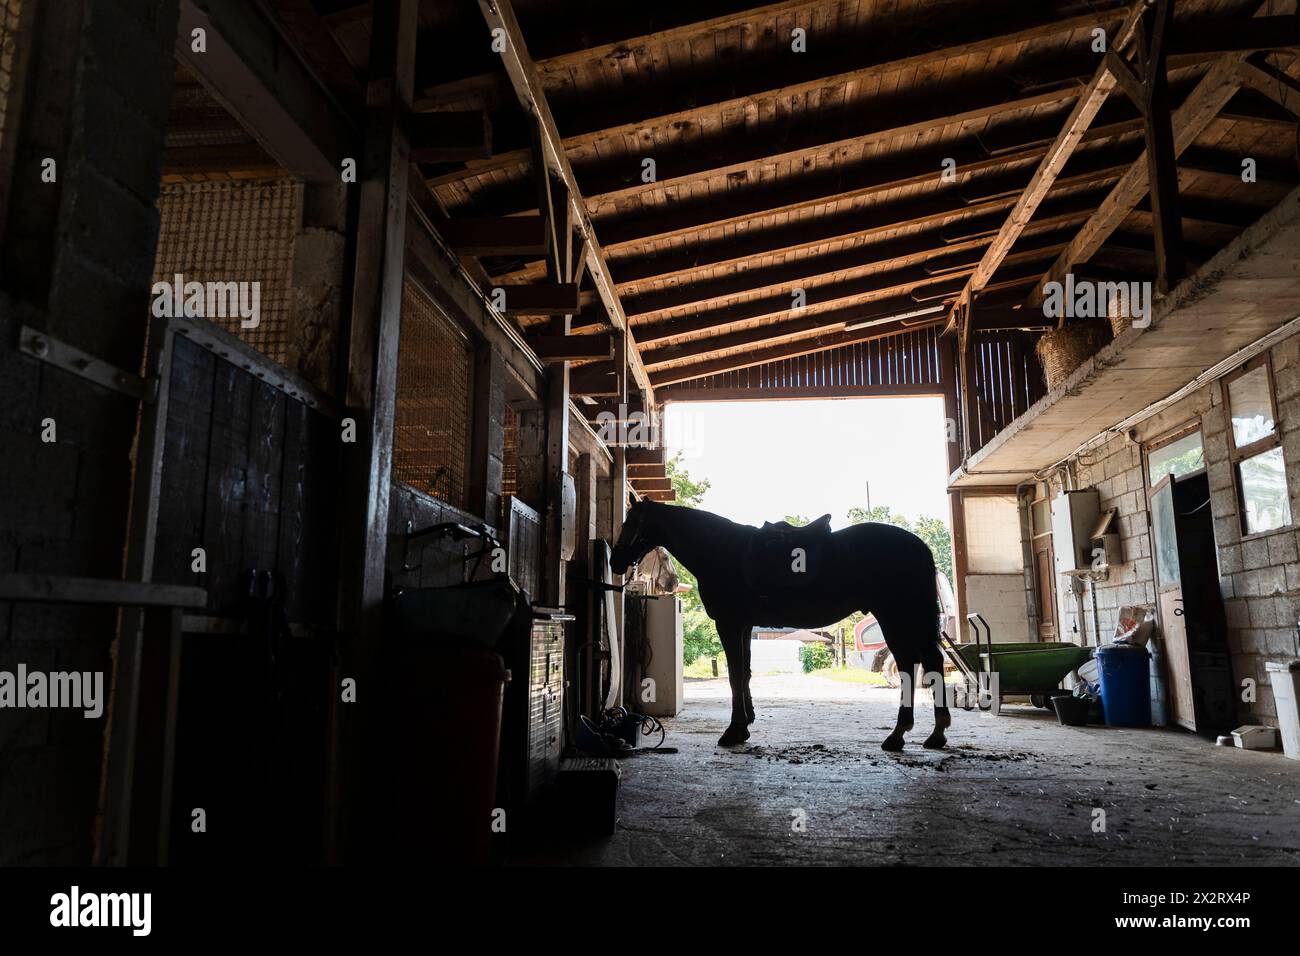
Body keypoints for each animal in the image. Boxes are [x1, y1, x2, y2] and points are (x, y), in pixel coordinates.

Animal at [611, 500, 950, 751]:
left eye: (629, 525)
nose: (615, 561)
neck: (721, 550)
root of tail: (919, 546)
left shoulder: (730, 623)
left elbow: (735, 676)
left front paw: (733, 731)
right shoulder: (744, 626)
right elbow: (744, 673)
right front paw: (745, 725)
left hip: (897, 616)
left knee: (916, 664)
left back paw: (913, 734)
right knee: (919, 663)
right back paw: (920, 734)